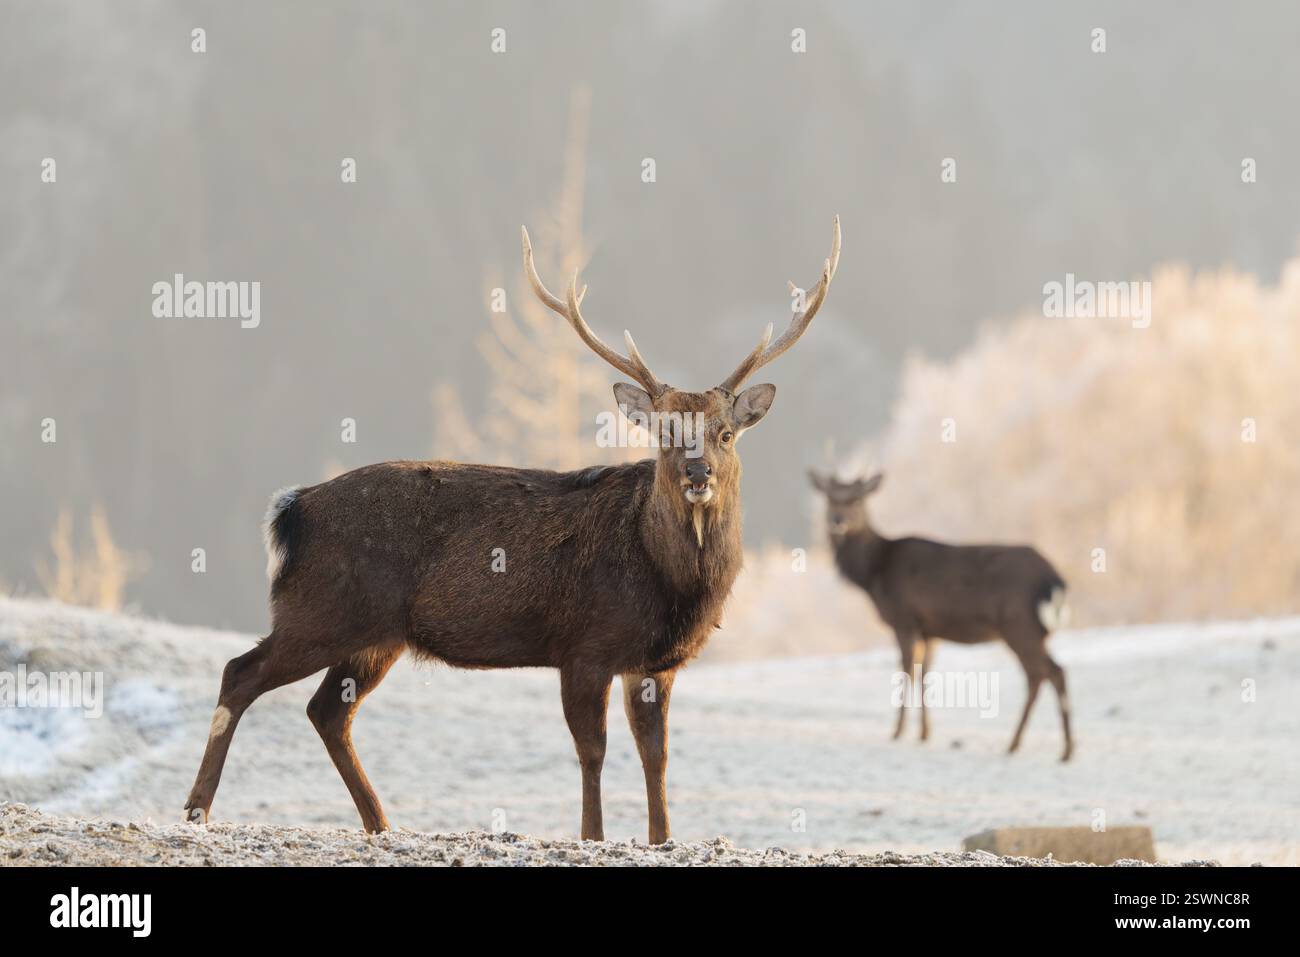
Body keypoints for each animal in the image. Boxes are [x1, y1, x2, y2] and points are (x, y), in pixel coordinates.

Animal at [183, 218, 841, 842]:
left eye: (725, 434)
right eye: (663, 435)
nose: (698, 473)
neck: (671, 583)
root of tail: (291, 509)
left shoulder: (655, 662)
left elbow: (656, 757)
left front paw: (661, 839)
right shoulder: (585, 643)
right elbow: (593, 751)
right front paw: (593, 835)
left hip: (374, 635)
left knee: (326, 711)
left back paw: (381, 823)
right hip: (320, 609)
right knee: (240, 673)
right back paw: (197, 810)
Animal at [808, 471, 1074, 761]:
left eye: (857, 499)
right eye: (829, 498)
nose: (837, 520)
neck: (873, 574)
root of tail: (1055, 580)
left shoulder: (904, 618)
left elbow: (906, 670)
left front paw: (898, 732)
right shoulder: (930, 630)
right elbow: (924, 673)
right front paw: (924, 733)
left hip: (1019, 624)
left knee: (1050, 672)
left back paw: (1059, 749)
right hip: (1031, 630)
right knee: (1041, 674)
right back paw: (1026, 744)